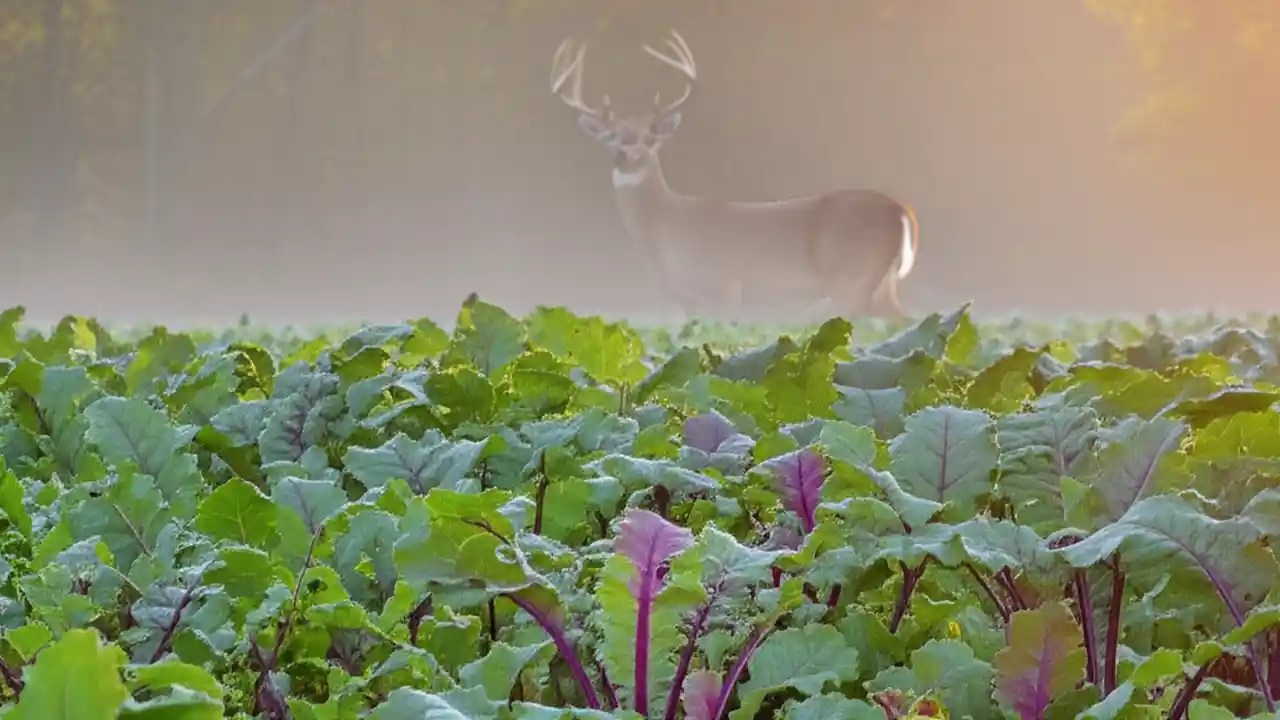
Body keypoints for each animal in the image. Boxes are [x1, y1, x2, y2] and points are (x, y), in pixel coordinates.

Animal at [550, 30, 920, 322]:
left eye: (651, 138)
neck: (670, 231)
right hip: (879, 285)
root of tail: (902, 212)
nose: (627, 156)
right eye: (610, 138)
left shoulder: (725, 288)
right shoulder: (687, 302)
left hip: (852, 278)